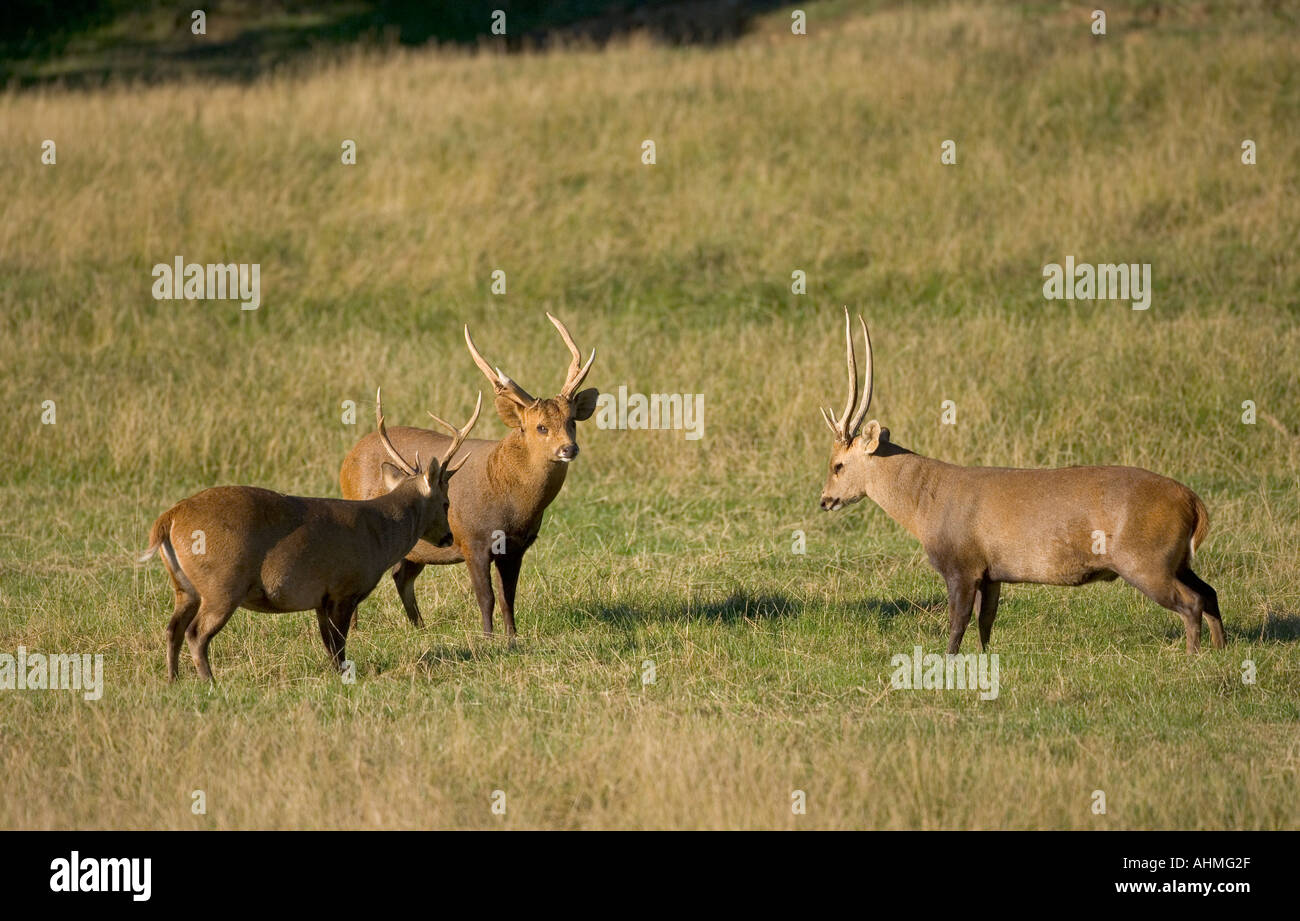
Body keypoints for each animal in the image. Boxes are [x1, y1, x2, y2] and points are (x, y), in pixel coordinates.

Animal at [140, 389, 481, 680]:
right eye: (446, 502)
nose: (448, 537)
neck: (379, 533)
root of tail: (169, 517)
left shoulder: (321, 597)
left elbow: (328, 644)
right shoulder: (344, 587)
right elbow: (339, 645)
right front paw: (344, 677)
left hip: (185, 587)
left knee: (172, 629)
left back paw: (173, 680)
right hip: (221, 583)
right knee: (196, 633)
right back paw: (210, 682)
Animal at [339, 313, 598, 639]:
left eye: (572, 421)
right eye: (540, 426)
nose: (569, 448)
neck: (510, 498)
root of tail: (348, 457)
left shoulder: (515, 547)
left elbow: (508, 598)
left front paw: (512, 637)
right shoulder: (472, 539)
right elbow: (485, 597)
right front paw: (487, 638)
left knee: (402, 575)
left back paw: (420, 627)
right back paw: (355, 629)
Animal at [818, 309, 1223, 655]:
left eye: (837, 464)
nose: (824, 499)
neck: (925, 504)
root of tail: (1192, 502)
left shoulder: (961, 564)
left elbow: (957, 624)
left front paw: (948, 662)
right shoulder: (992, 572)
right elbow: (985, 624)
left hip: (1145, 560)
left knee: (1192, 602)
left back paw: (1193, 655)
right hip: (1176, 560)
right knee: (1210, 593)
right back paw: (1219, 650)